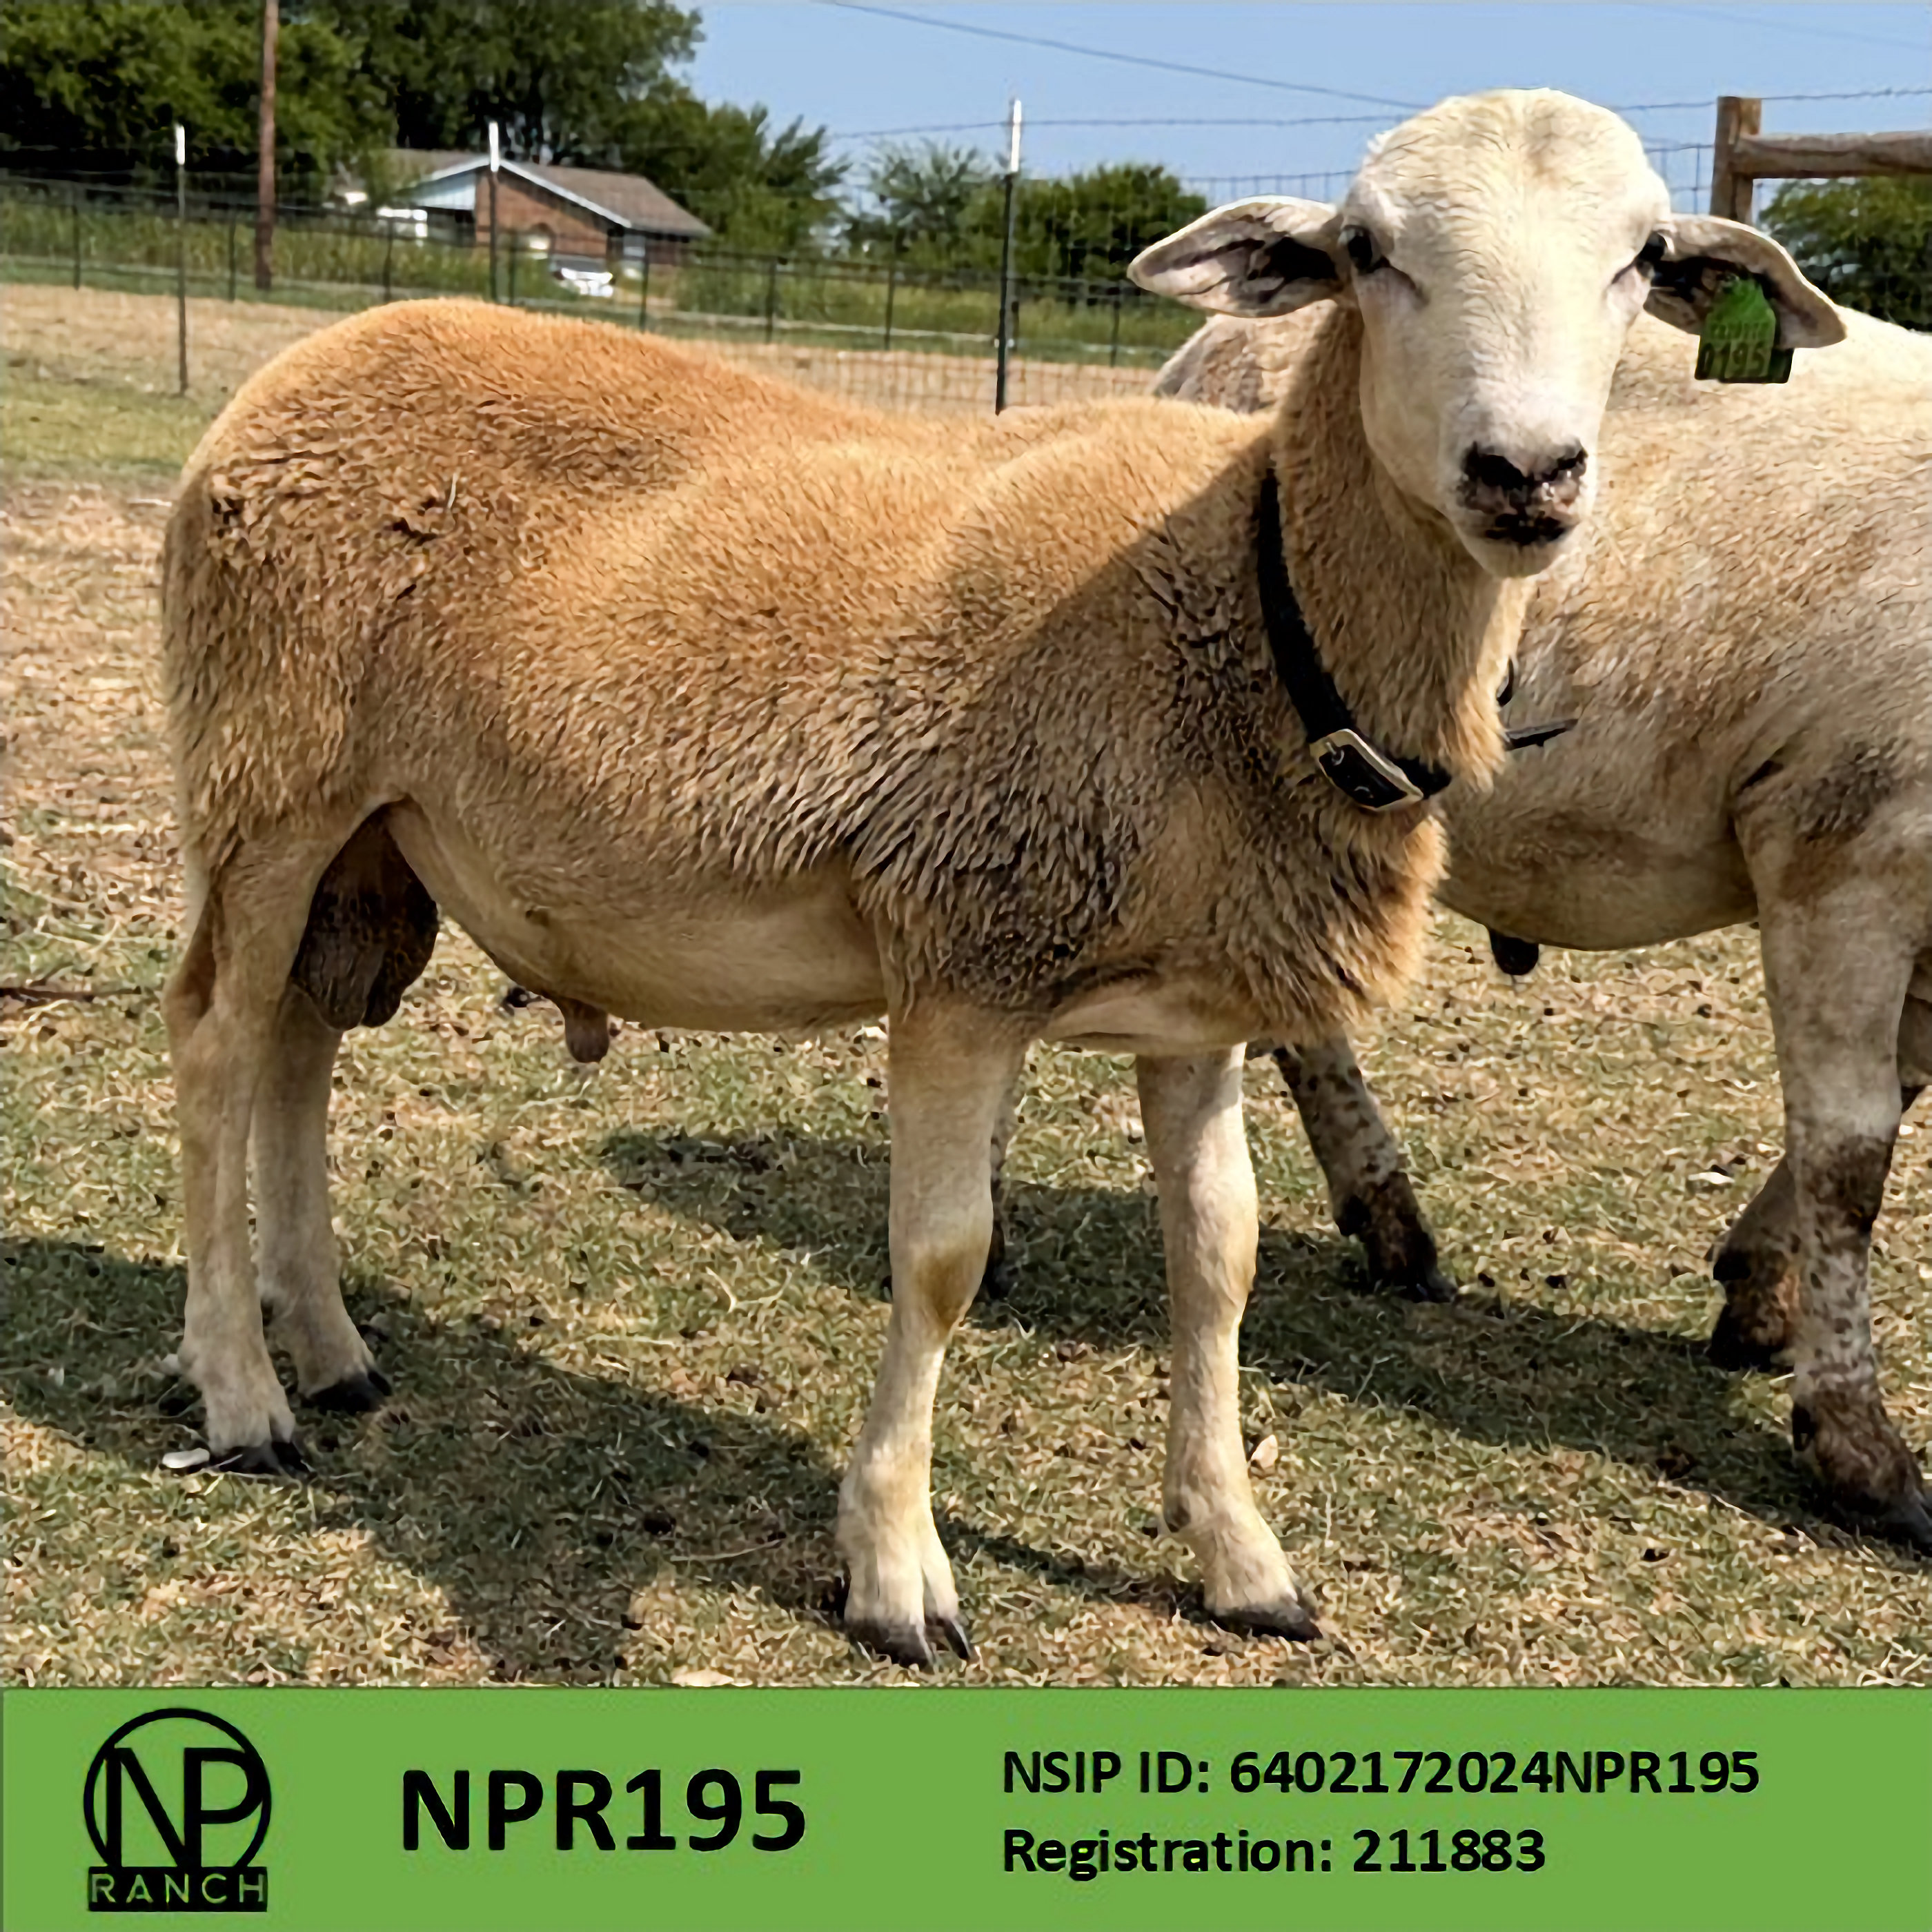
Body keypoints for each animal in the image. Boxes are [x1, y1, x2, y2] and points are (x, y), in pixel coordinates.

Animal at [158, 89, 1841, 1665]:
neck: (1252, 608)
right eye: (1368, 251)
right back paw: (244, 1393)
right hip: (267, 771)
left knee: (299, 1047)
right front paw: (897, 1572)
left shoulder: (1199, 1008)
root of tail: (296, 370)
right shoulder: (962, 956)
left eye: (1641, 260)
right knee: (215, 1044)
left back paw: (331, 1348)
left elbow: (1217, 1257)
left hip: (370, 832)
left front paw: (1240, 1556)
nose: (1526, 472)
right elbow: (942, 1259)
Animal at [1155, 297, 1931, 1551]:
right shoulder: (1845, 852)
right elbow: (1852, 1156)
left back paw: (1391, 1225)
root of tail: (1201, 352)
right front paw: (1860, 1449)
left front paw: (1762, 1295)